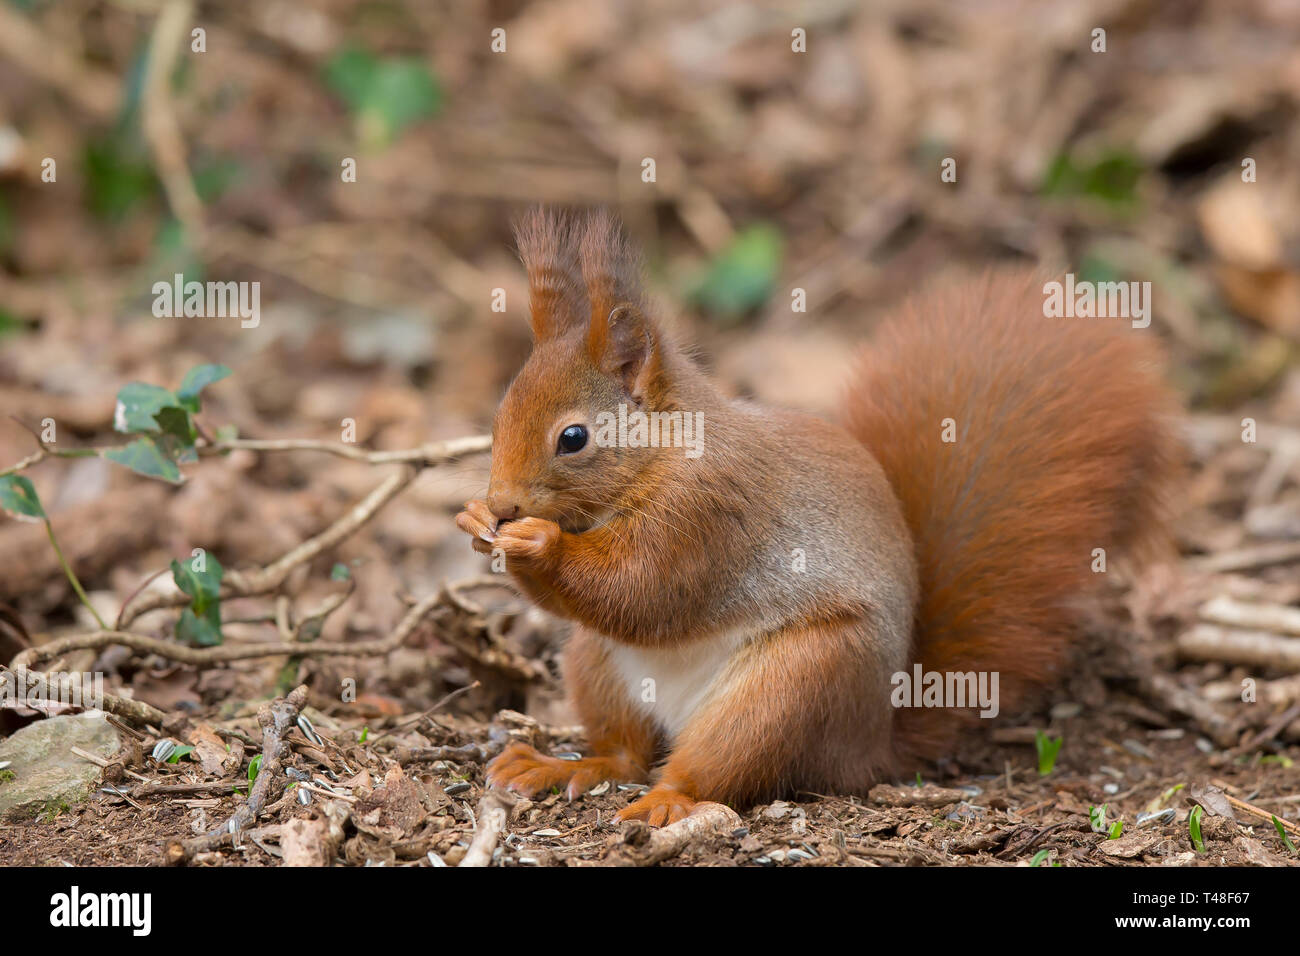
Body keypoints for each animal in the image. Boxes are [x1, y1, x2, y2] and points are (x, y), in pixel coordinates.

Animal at [455, 208, 1180, 826]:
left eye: (573, 438)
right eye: (498, 413)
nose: (503, 503)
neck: (666, 453)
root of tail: (869, 747)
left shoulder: (709, 513)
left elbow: (645, 588)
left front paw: (536, 543)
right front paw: (474, 521)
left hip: (793, 688)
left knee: (705, 769)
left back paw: (666, 803)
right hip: (597, 668)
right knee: (626, 752)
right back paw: (559, 766)